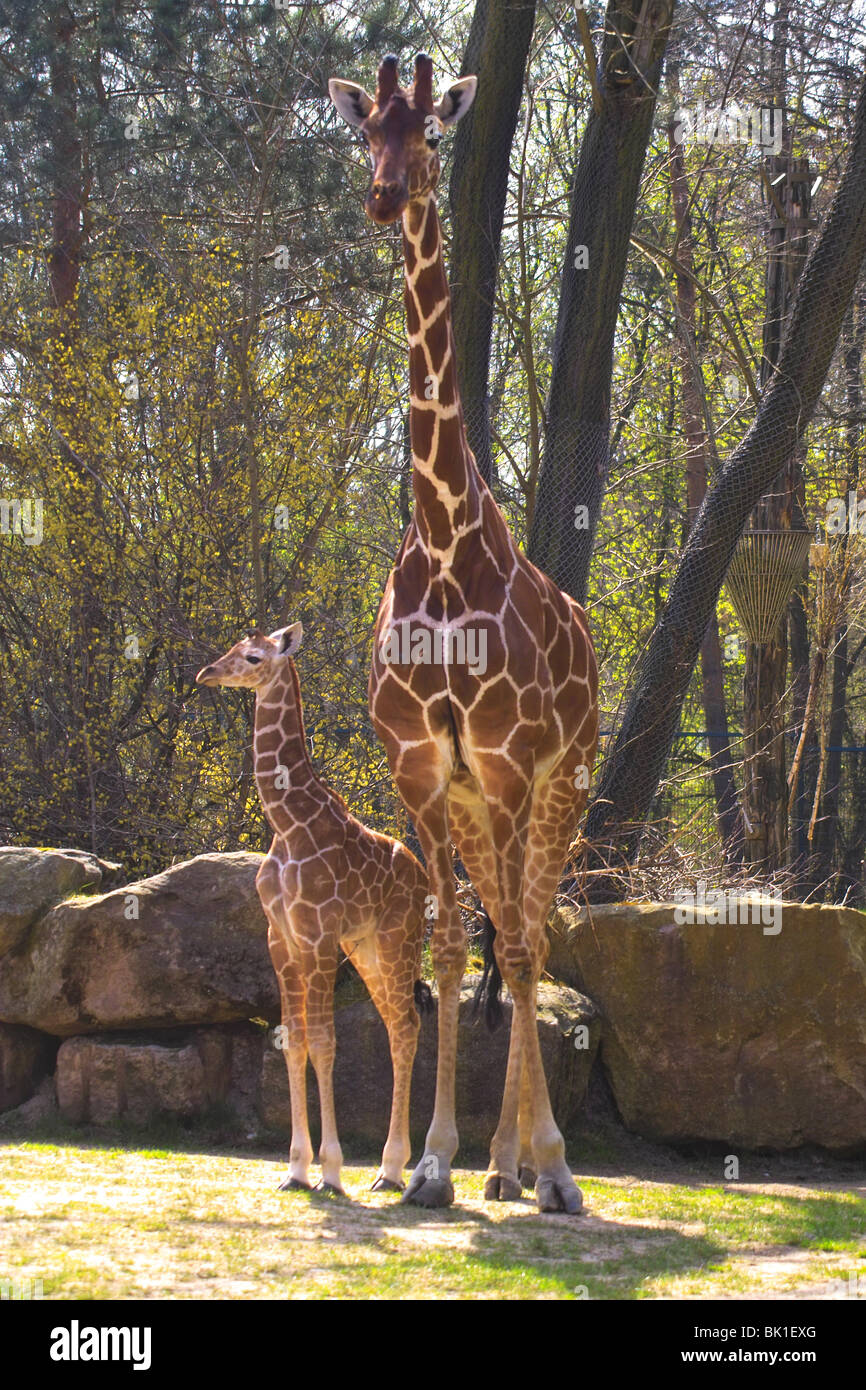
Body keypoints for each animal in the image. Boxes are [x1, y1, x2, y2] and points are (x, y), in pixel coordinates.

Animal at [196, 622, 430, 1196]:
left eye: (253, 658)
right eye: (233, 649)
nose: (206, 673)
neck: (287, 822)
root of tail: (422, 877)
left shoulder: (319, 934)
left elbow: (324, 1043)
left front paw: (331, 1170)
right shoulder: (281, 938)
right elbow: (293, 1041)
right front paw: (296, 1169)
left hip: (398, 939)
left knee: (406, 1026)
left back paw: (392, 1169)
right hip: (365, 948)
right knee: (400, 1026)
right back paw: (391, 1169)